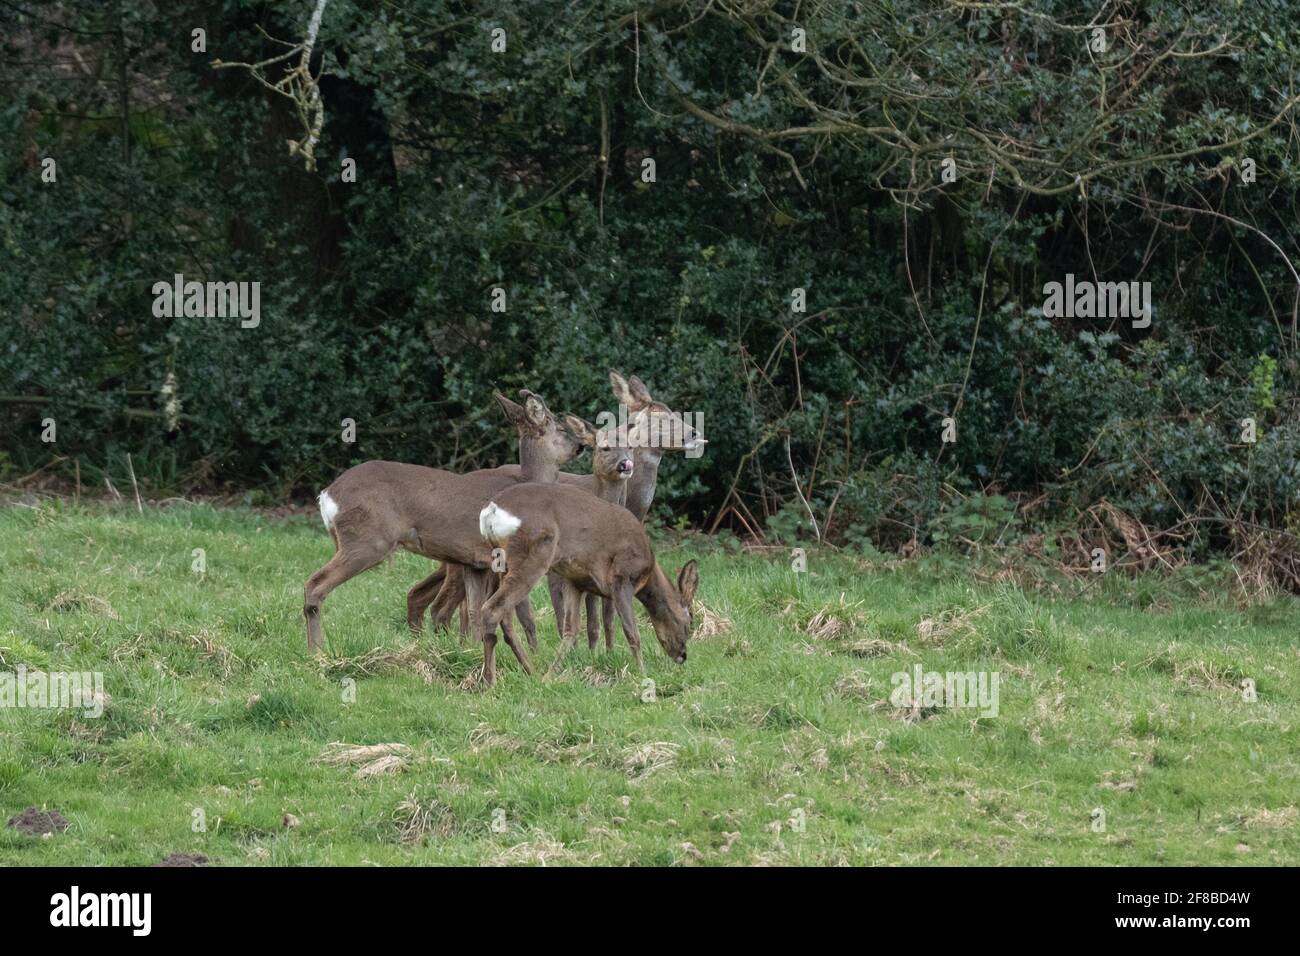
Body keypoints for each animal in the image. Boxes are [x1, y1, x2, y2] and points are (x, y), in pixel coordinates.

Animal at [305, 390, 584, 682]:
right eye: (561, 427)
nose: (581, 446)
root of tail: (327, 495)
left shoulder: (474, 563)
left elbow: (473, 611)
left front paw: (470, 653)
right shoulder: (493, 559)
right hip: (367, 540)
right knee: (315, 584)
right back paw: (317, 655)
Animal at [475, 482, 700, 682]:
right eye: (689, 622)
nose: (682, 655)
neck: (648, 571)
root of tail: (492, 511)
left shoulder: (575, 582)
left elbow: (571, 630)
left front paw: (550, 677)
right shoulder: (622, 577)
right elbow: (632, 633)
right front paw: (643, 674)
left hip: (500, 564)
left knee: (504, 616)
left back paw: (531, 672)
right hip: (534, 553)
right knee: (491, 609)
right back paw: (490, 682)